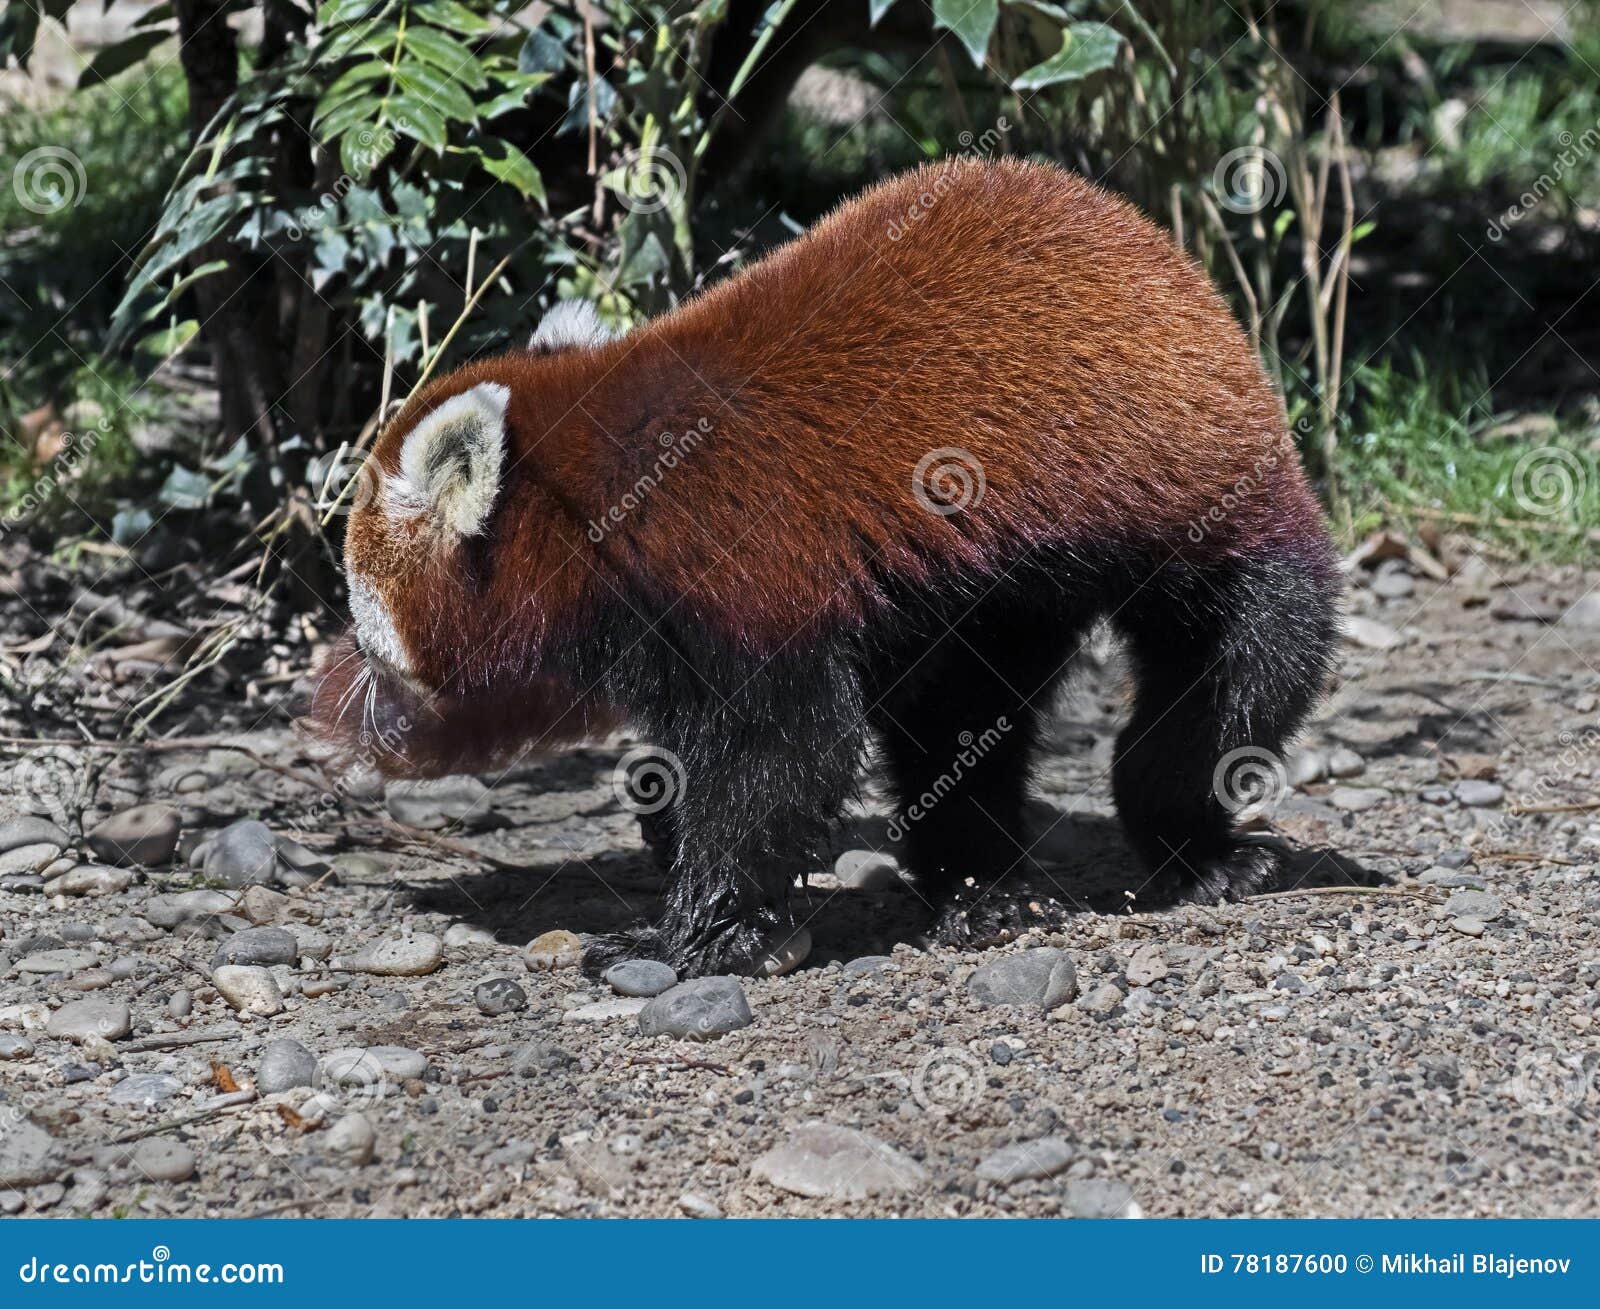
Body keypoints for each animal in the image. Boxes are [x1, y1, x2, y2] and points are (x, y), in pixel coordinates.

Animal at [306, 157, 1341, 978]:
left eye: (360, 606)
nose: (353, 674)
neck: (595, 502)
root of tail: (1155, 246)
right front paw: (677, 855)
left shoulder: (738, 568)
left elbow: (784, 751)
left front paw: (691, 932)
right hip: (984, 591)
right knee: (960, 721)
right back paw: (983, 889)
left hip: (1195, 497)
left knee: (1234, 677)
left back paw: (1196, 850)